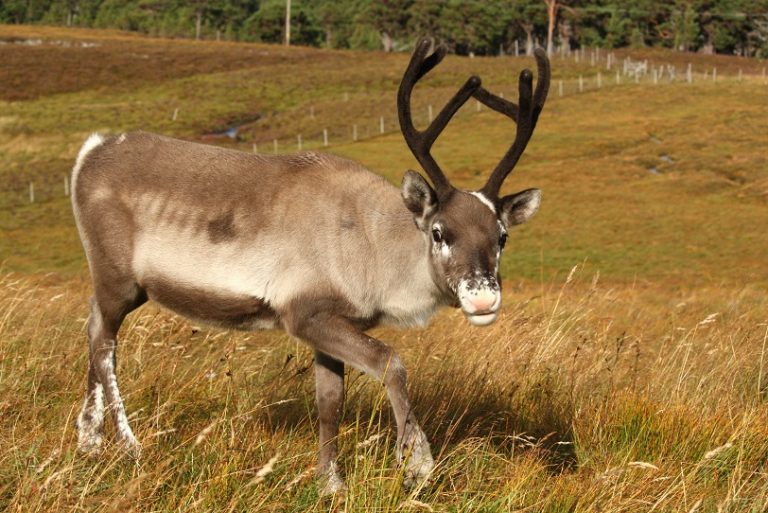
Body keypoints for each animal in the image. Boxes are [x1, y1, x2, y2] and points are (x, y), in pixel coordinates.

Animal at [71, 39, 550, 494]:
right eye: (438, 232)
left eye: (501, 235)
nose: (483, 298)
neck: (372, 244)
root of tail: (87, 153)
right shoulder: (304, 313)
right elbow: (391, 362)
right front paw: (416, 462)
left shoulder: (332, 321)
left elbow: (330, 403)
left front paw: (330, 483)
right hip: (117, 277)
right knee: (105, 342)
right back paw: (129, 445)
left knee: (92, 327)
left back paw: (89, 439)